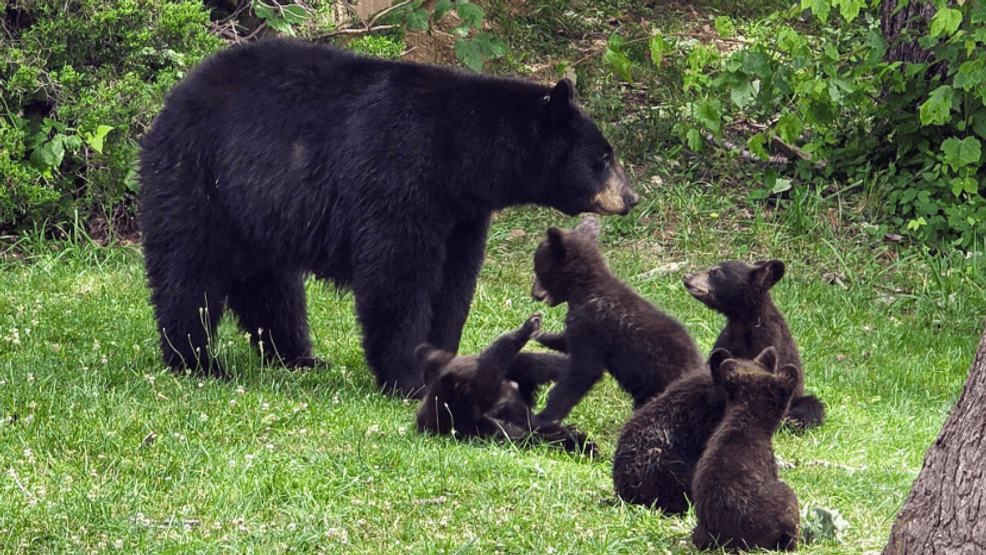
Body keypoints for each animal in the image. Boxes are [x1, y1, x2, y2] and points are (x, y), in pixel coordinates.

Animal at [138, 37, 638, 396]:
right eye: (603, 156)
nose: (630, 197)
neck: (460, 154)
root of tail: (177, 94)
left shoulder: (461, 214)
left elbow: (454, 282)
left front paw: (441, 361)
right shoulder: (398, 174)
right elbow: (397, 277)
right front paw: (407, 378)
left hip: (257, 211)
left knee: (271, 286)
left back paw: (298, 357)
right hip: (197, 178)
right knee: (188, 271)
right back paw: (196, 362)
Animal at [528, 215, 707, 427]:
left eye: (538, 269)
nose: (533, 294)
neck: (584, 289)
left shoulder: (591, 325)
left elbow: (582, 371)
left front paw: (543, 418)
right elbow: (566, 341)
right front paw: (539, 334)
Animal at [683, 259, 825, 430]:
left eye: (716, 272)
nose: (687, 277)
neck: (743, 323)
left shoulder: (769, 341)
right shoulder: (726, 339)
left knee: (811, 405)